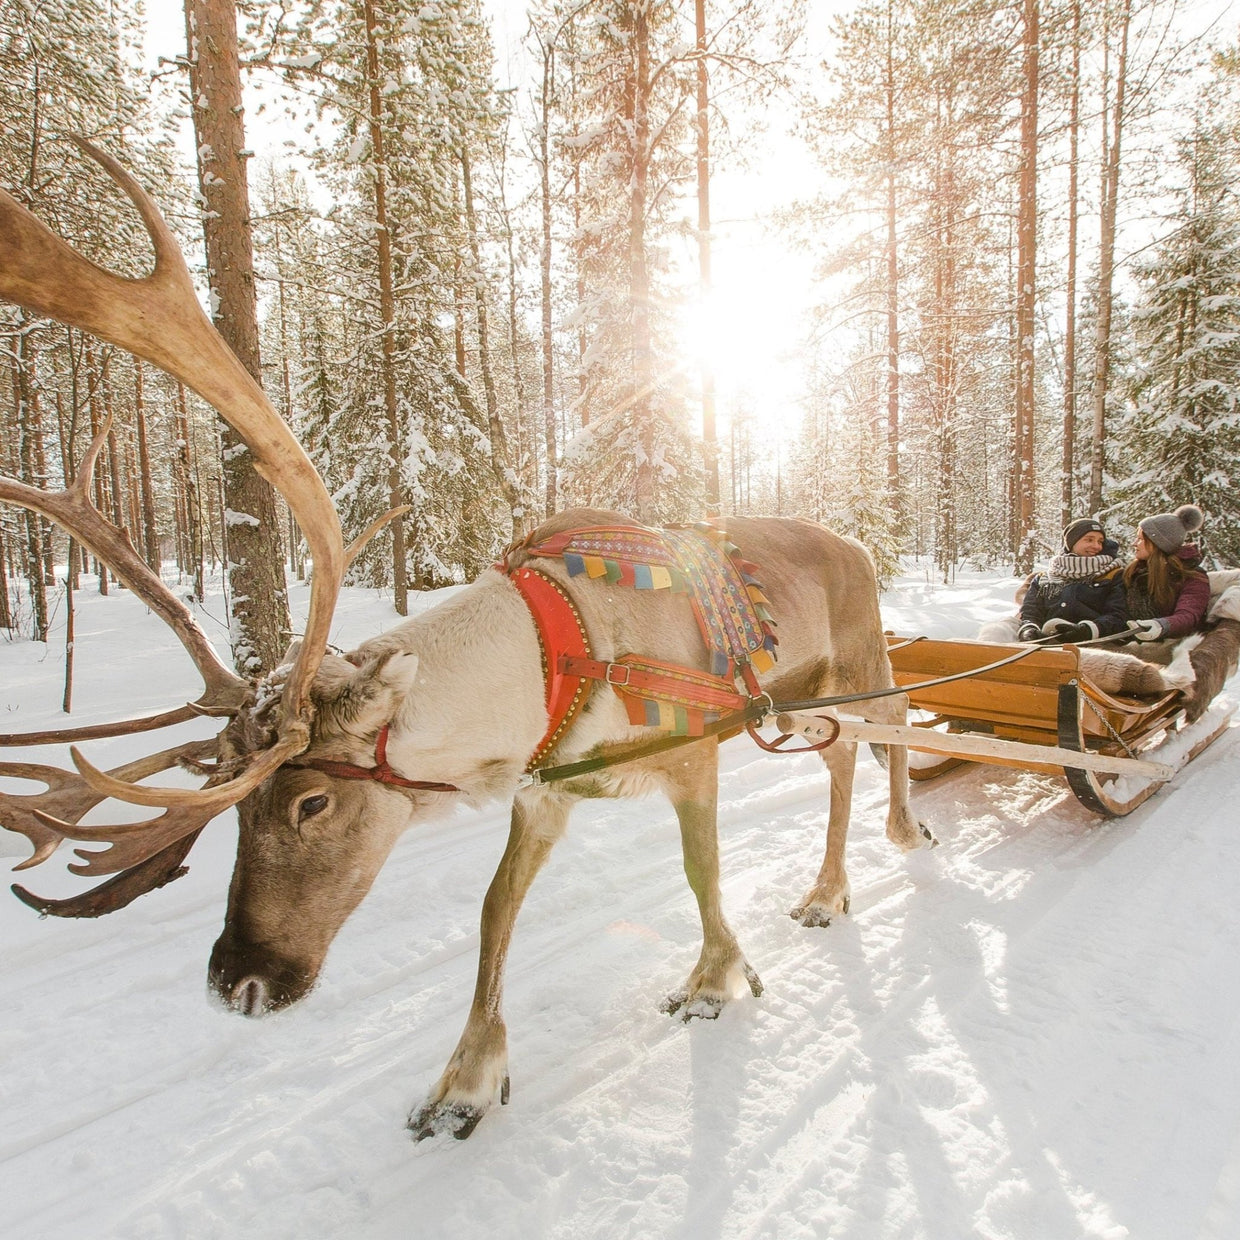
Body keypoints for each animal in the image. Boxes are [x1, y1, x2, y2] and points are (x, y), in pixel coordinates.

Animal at [0, 141, 933, 1141]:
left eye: (311, 803)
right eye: (232, 806)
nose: (238, 982)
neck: (557, 653)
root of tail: (857, 540)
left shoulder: (691, 759)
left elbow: (701, 873)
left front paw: (715, 980)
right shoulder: (543, 787)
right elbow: (494, 912)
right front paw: (467, 1080)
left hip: (856, 667)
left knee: (889, 735)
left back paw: (875, 853)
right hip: (796, 707)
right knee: (846, 757)